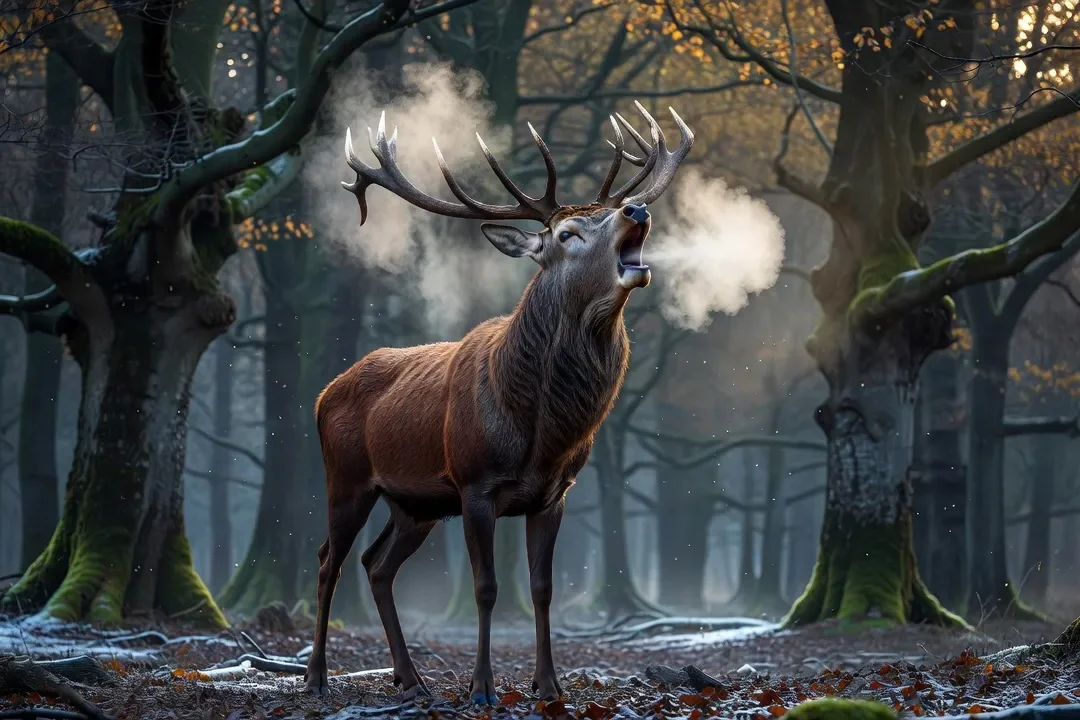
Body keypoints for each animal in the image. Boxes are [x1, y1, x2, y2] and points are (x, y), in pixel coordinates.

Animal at [305, 101, 693, 704]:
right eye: (567, 233)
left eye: (611, 212)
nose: (636, 209)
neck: (539, 432)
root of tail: (324, 392)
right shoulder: (474, 485)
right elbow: (486, 588)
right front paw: (482, 688)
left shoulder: (553, 494)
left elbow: (541, 589)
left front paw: (549, 685)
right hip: (346, 478)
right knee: (330, 561)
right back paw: (317, 677)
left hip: (413, 505)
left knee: (376, 565)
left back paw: (411, 679)